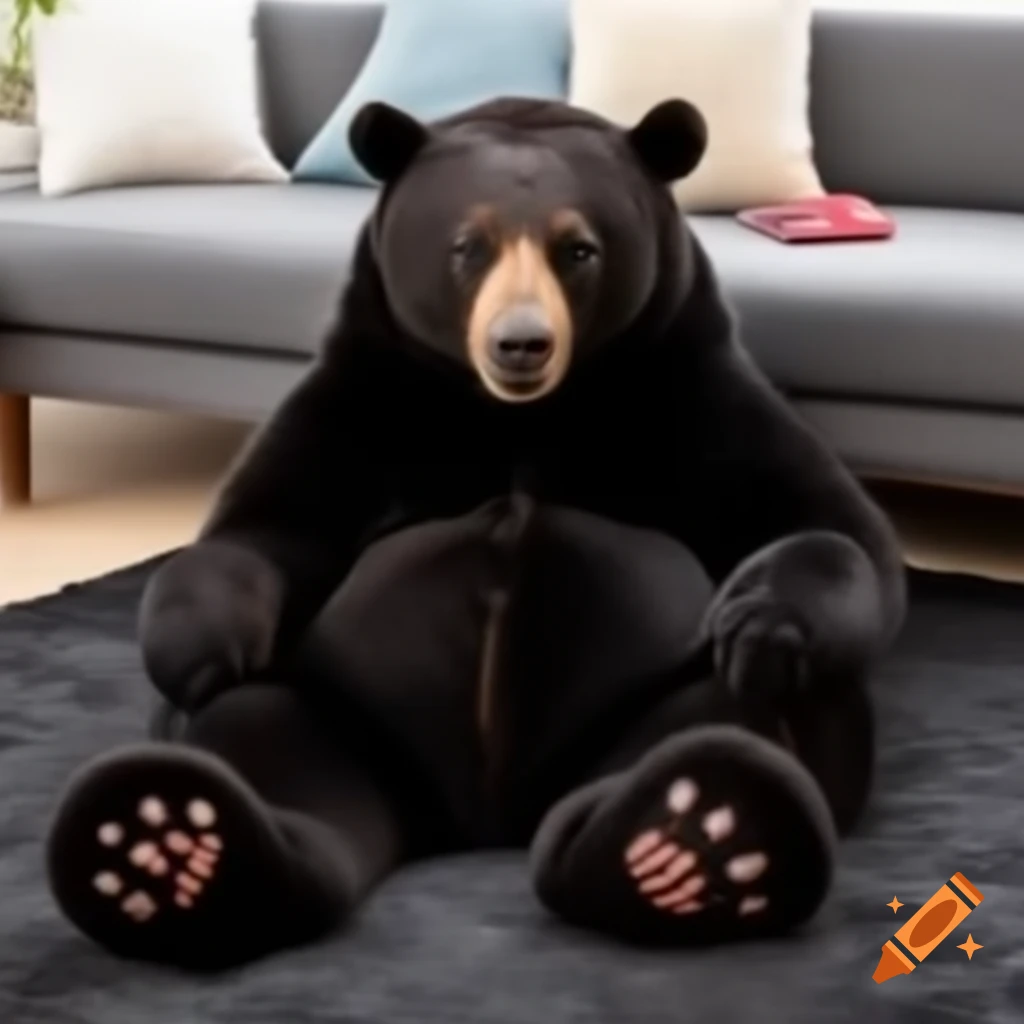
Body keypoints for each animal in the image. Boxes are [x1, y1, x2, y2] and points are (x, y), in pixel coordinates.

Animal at [45, 96, 906, 971]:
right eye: (468, 245)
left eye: (578, 249)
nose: (520, 344)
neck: (516, 417)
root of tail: (482, 817)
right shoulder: (361, 398)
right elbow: (263, 527)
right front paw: (200, 644)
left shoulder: (688, 390)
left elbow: (826, 523)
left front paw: (763, 620)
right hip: (338, 711)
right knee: (260, 735)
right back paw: (170, 847)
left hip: (673, 701)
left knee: (725, 712)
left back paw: (692, 837)